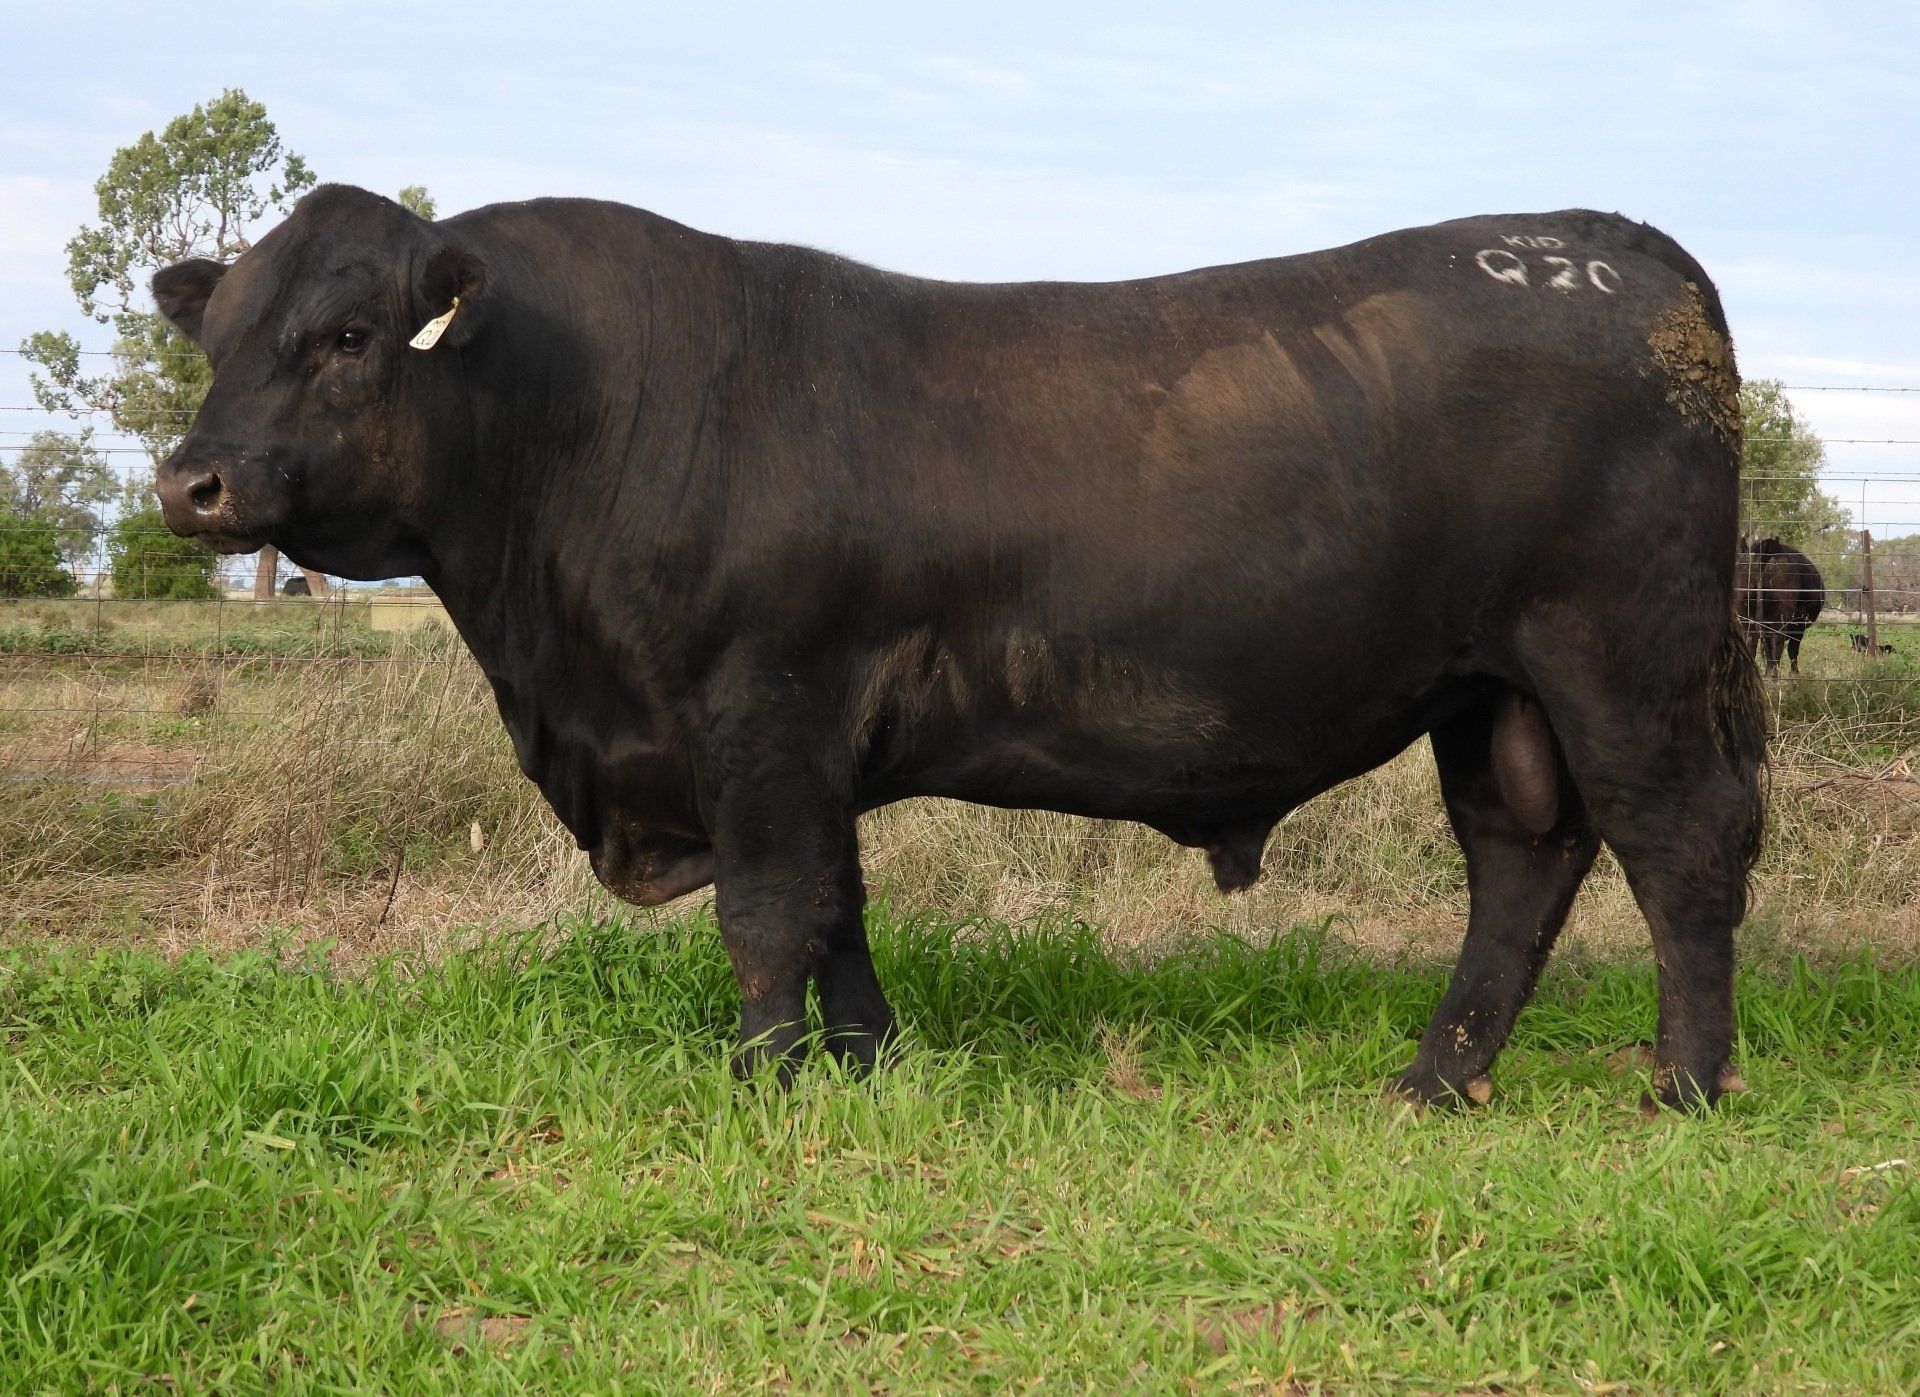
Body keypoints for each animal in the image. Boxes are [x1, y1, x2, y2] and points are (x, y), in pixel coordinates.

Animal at [150, 186, 1767, 1111]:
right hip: (1487, 692)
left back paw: (1682, 1089)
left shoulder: (760, 707)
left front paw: (764, 1086)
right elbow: (840, 908)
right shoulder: (807, 740)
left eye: (351, 335)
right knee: (1523, 862)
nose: (191, 481)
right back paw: (1435, 1080)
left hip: (1622, 656)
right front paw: (866, 1066)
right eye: (215, 335)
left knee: (1679, 843)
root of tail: (1621, 248)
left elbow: (770, 912)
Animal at [1736, 537, 1824, 678]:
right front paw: (1794, 673)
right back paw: (1773, 675)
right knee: (1777, 643)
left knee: (1752, 642)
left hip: (1746, 616)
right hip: (1780, 616)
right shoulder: (1800, 623)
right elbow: (1792, 649)